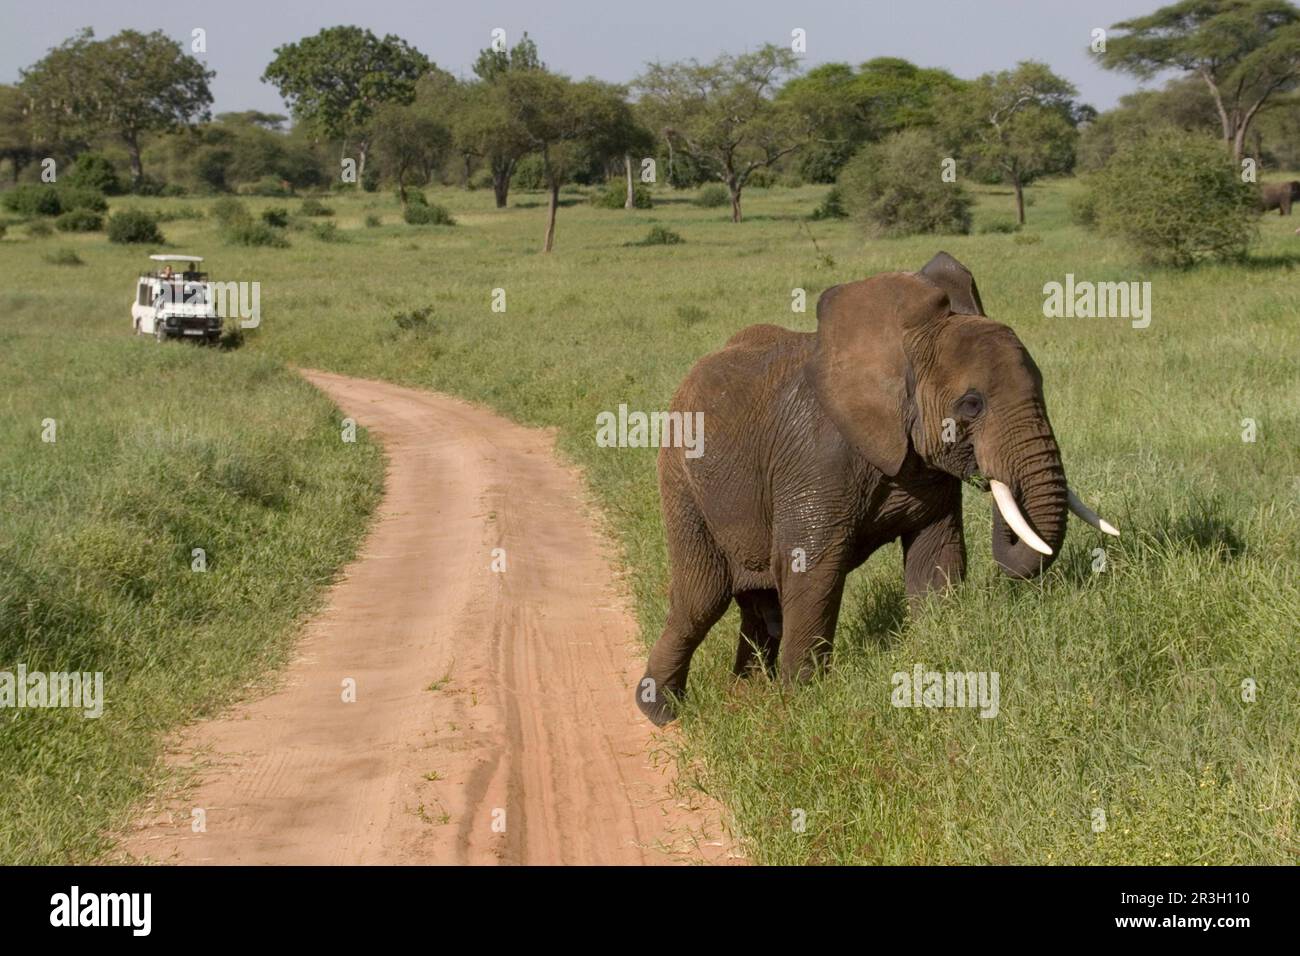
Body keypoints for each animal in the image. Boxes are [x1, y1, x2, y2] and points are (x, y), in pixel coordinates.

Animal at [636, 252, 1120, 726]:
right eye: (972, 404)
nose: (994, 480)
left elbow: (937, 556)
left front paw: (932, 663)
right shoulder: (816, 458)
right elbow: (810, 568)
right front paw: (804, 706)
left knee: (758, 600)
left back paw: (746, 692)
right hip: (680, 480)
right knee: (701, 598)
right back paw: (661, 713)